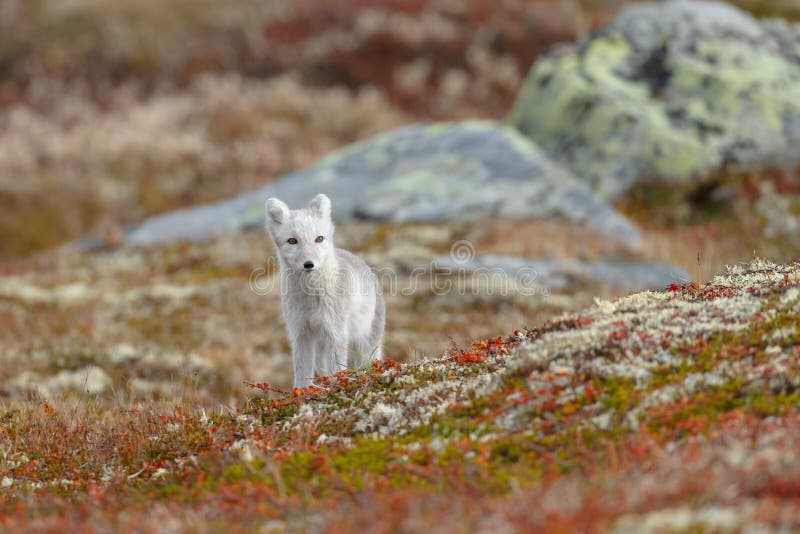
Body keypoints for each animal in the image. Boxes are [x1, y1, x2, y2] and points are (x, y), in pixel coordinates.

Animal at [265, 194, 385, 388]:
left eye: (319, 238)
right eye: (292, 241)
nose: (309, 264)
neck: (310, 296)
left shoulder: (335, 333)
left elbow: (336, 368)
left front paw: (337, 386)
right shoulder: (300, 333)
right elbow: (302, 370)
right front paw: (300, 391)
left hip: (366, 341)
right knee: (321, 368)